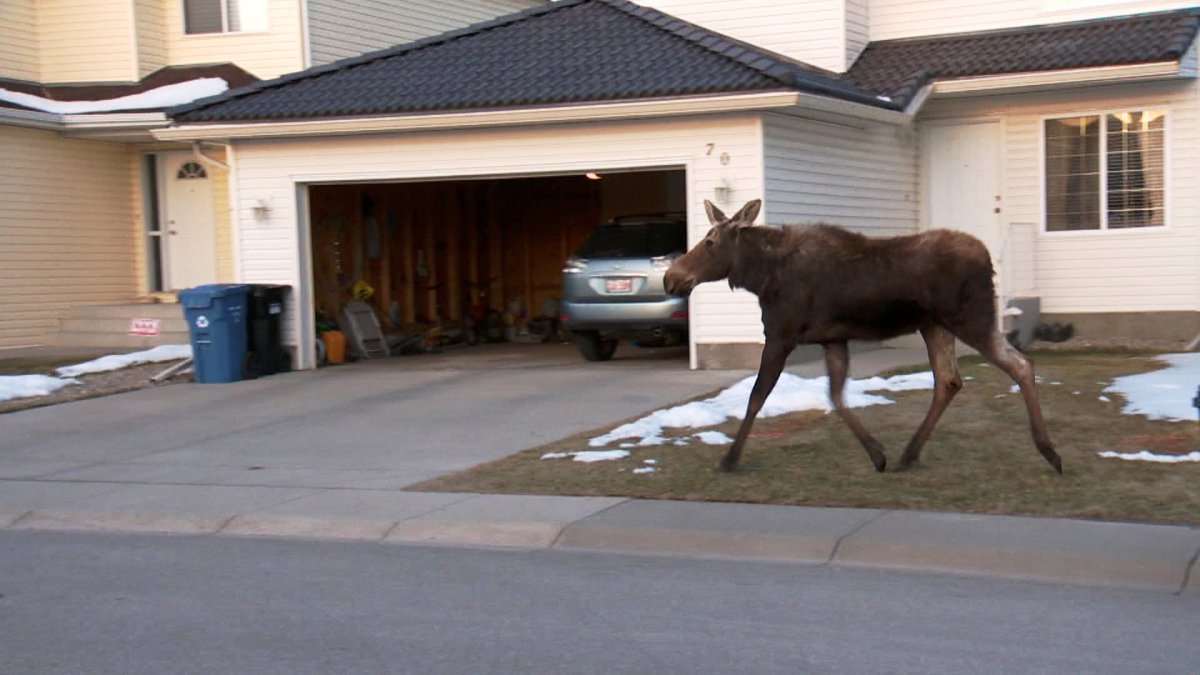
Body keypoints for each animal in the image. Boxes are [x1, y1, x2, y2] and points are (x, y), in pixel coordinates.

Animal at [663, 199, 1061, 475]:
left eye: (710, 241)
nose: (670, 277)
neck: (761, 276)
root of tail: (989, 260)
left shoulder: (781, 334)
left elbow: (757, 396)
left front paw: (729, 459)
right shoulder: (832, 339)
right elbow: (836, 395)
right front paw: (877, 453)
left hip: (970, 318)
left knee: (1020, 364)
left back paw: (1050, 452)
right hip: (935, 325)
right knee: (949, 381)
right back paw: (908, 454)